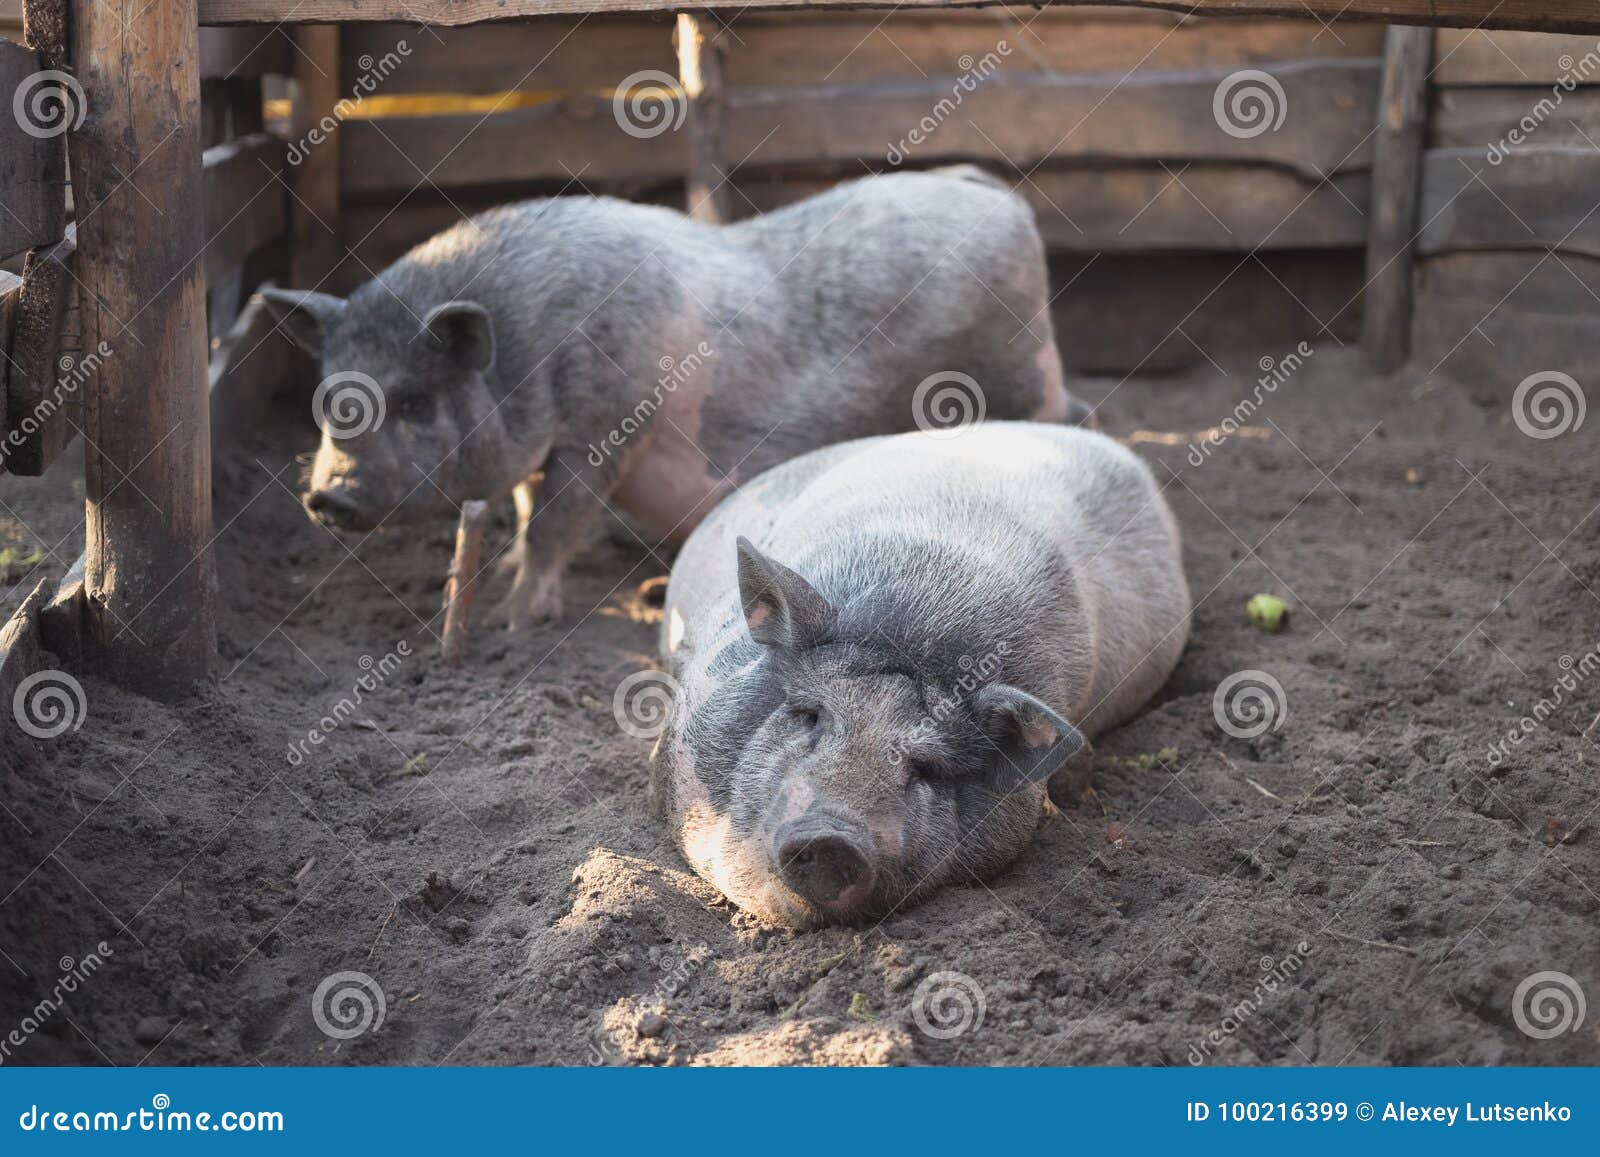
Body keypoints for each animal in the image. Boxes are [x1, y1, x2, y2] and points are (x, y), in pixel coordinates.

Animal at [261, 167, 1087, 627]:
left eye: (413, 401)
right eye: (333, 398)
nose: (328, 496)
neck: (529, 346)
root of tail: (1001, 199)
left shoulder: (604, 426)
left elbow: (555, 521)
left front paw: (511, 620)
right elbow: (526, 508)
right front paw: (497, 578)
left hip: (1015, 375)